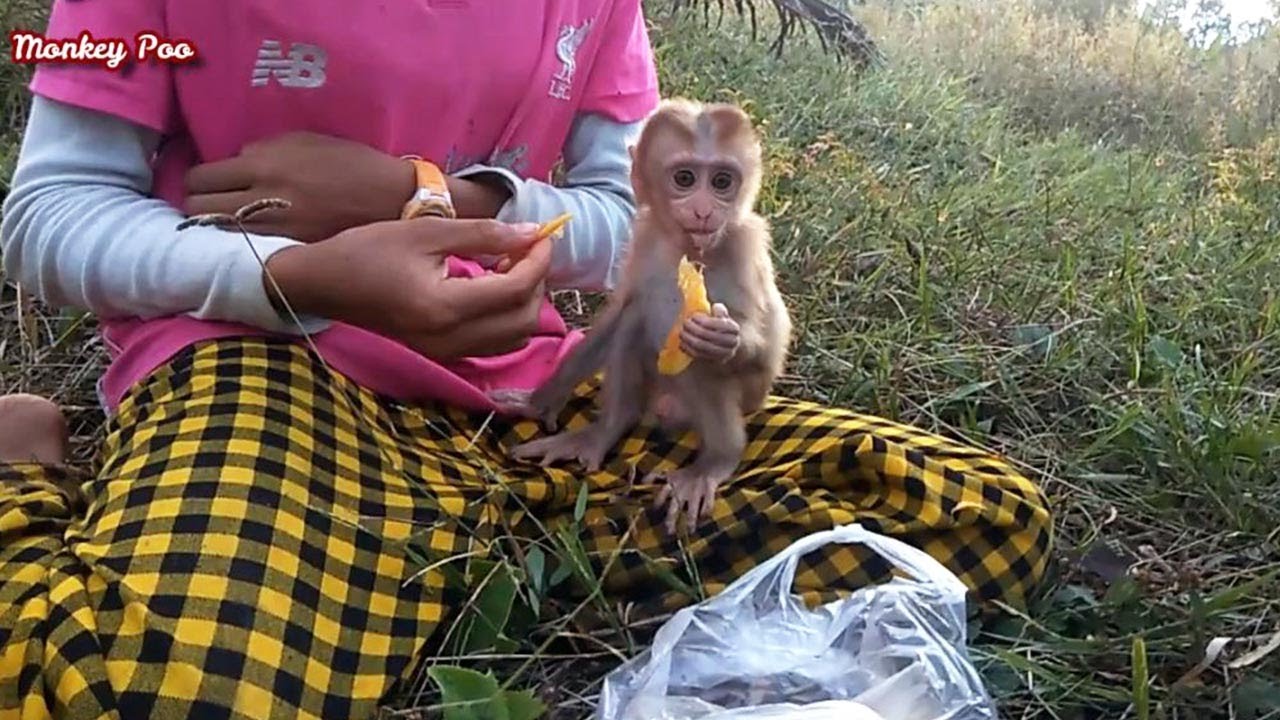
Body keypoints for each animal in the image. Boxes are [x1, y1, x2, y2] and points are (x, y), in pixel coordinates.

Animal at [489, 98, 792, 533]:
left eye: (722, 182)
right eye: (685, 178)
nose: (704, 211)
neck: (688, 249)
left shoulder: (743, 243)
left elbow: (761, 345)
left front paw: (722, 338)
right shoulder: (646, 234)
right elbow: (622, 313)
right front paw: (540, 400)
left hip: (720, 401)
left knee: (698, 362)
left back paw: (717, 459)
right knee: (634, 323)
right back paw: (607, 429)